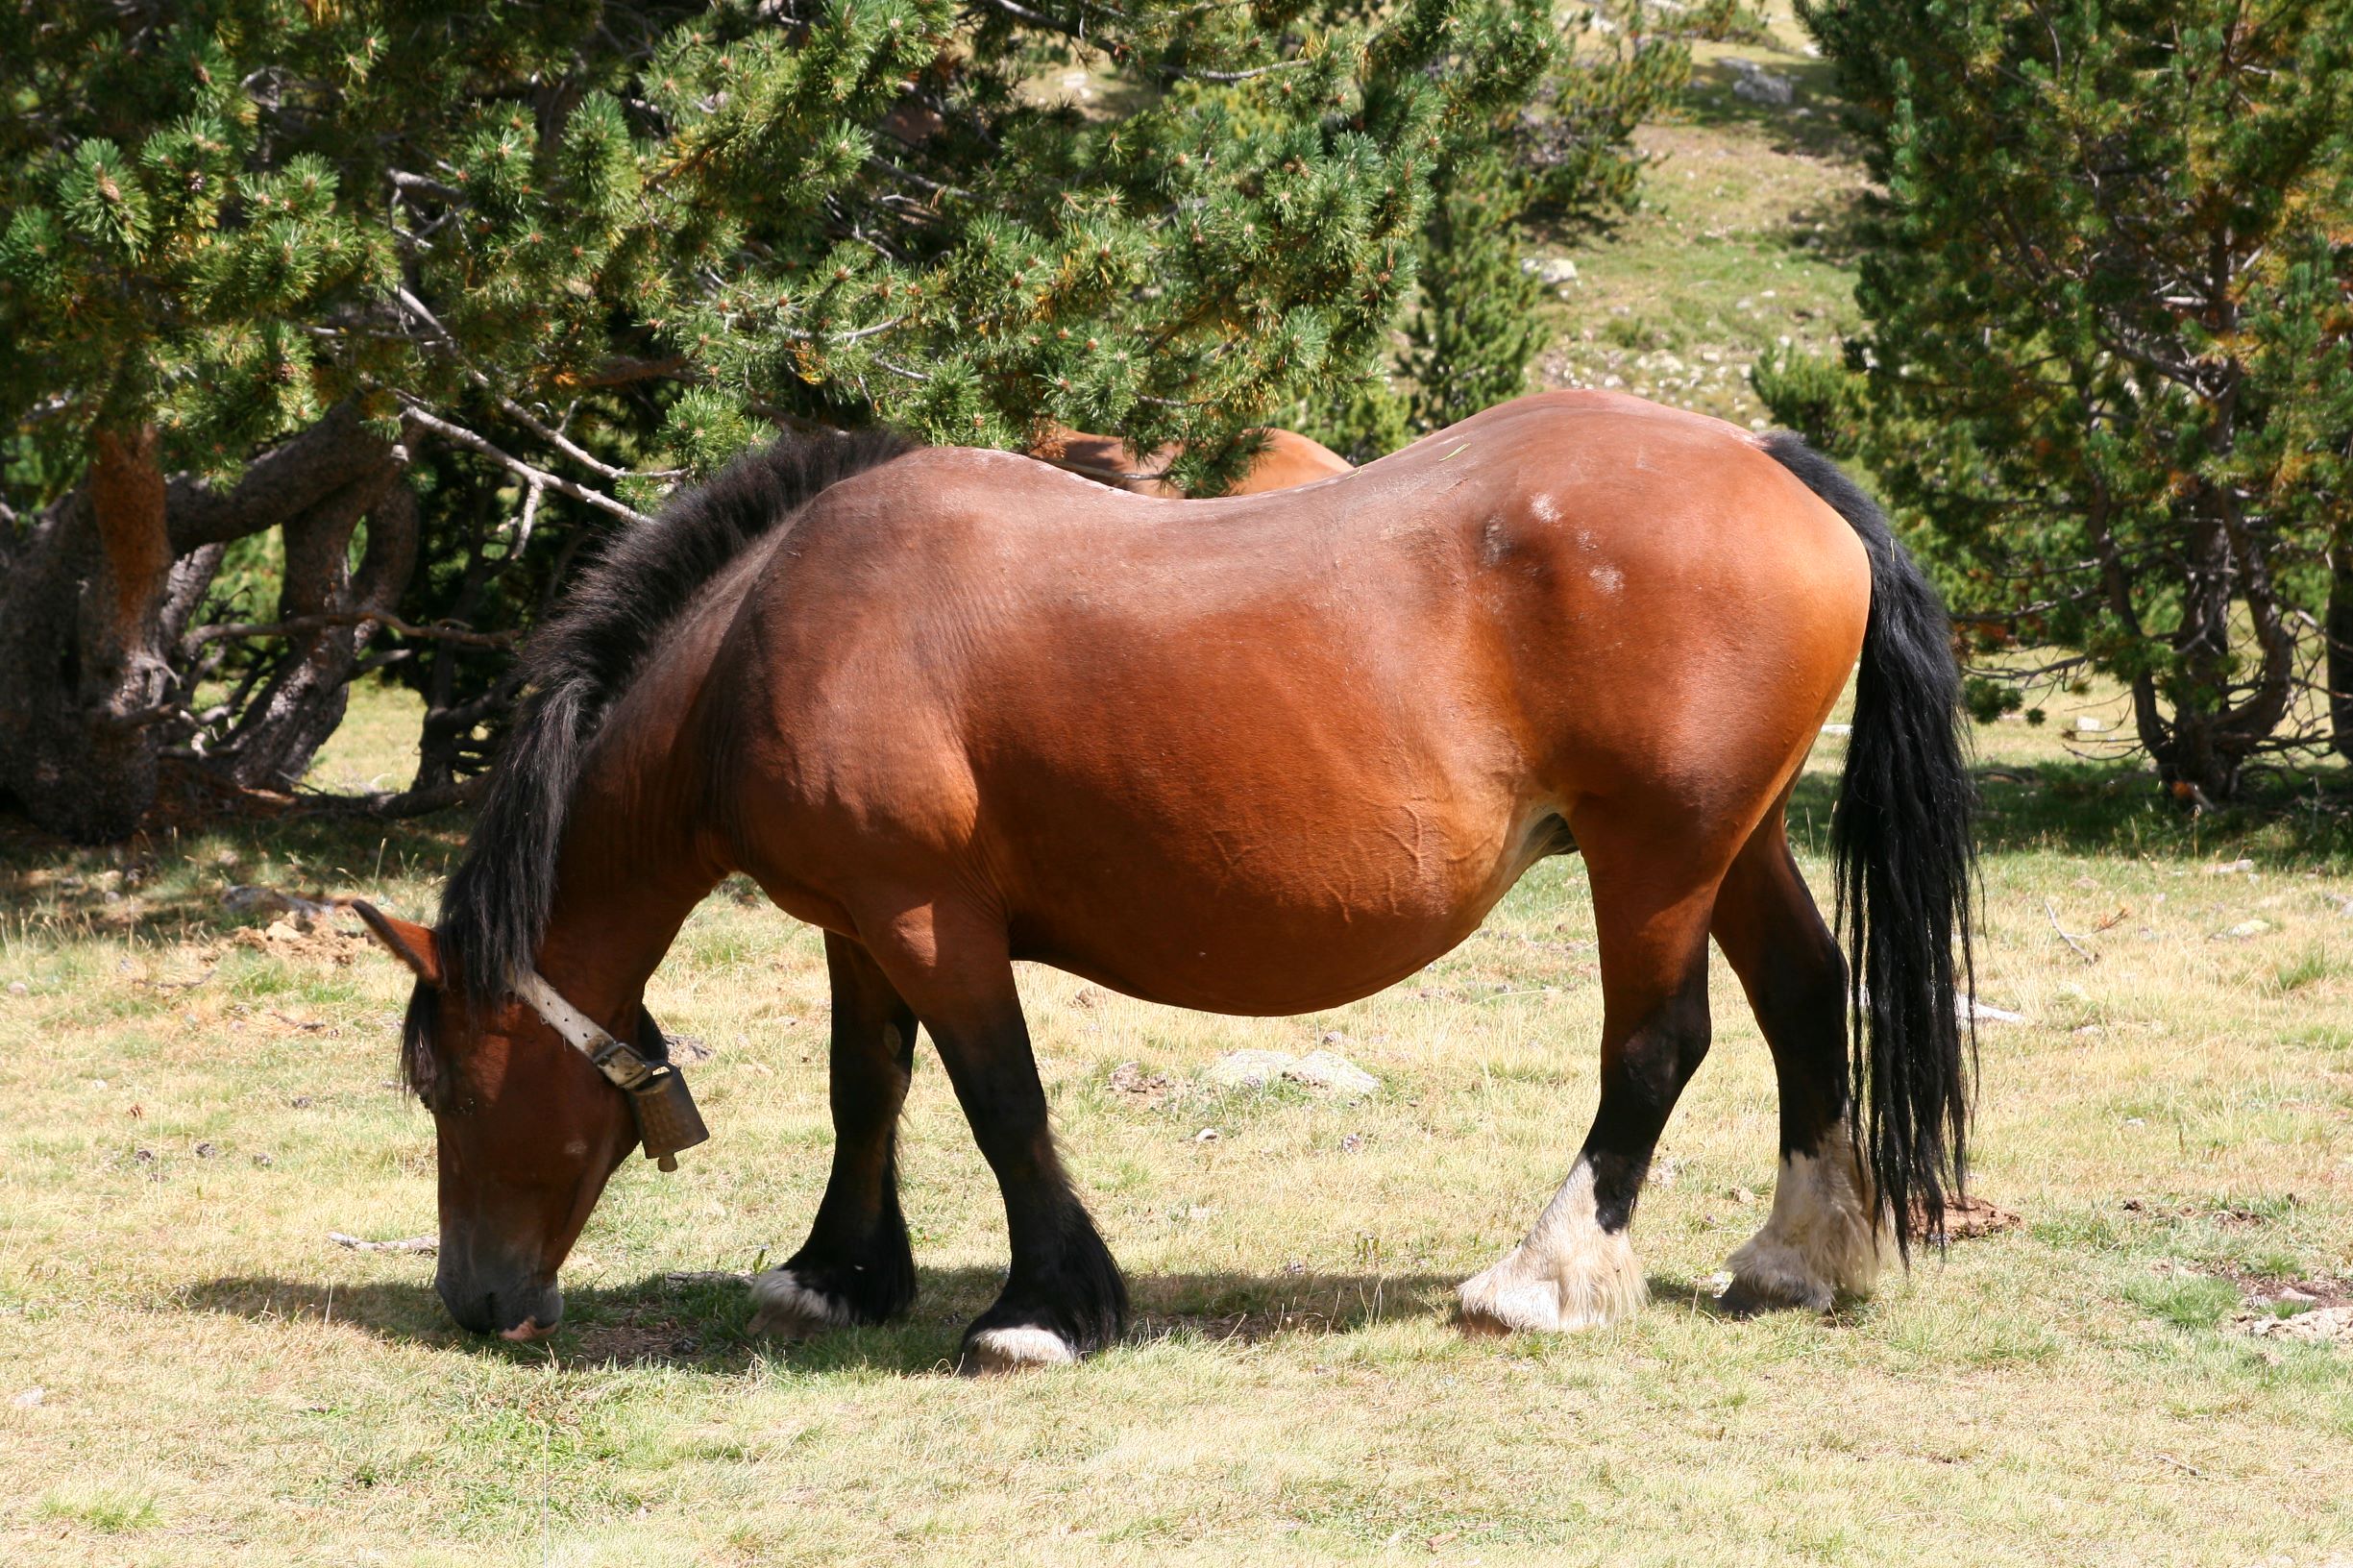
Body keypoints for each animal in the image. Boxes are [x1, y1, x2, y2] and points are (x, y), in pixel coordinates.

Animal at [353, 389, 1975, 1369]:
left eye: (453, 1089)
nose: (476, 1304)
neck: (772, 630)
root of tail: (1766, 463)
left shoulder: (929, 920)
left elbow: (998, 1099)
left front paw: (1041, 1310)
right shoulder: (854, 929)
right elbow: (866, 1090)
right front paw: (837, 1274)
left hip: (1651, 856)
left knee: (1657, 1044)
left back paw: (1544, 1273)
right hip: (1733, 842)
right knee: (1804, 998)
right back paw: (1799, 1257)